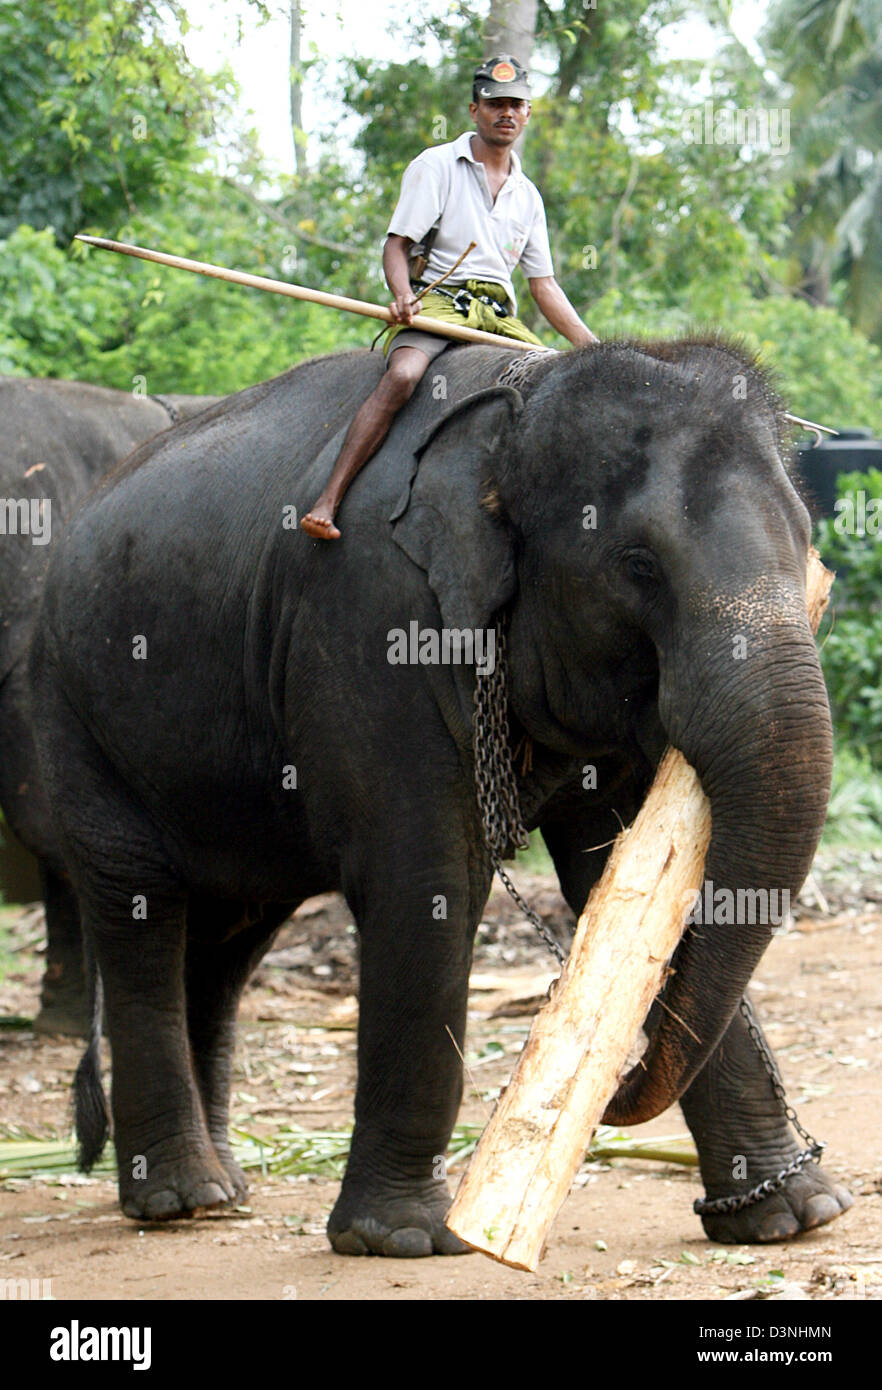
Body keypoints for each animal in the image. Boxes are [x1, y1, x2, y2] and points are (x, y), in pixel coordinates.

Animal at [28, 337, 853, 1255]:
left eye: (809, 547)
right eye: (638, 565)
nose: (615, 1089)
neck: (516, 412)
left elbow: (626, 879)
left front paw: (797, 1217)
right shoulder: (370, 624)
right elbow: (428, 883)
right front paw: (404, 1239)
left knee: (230, 931)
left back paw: (225, 1190)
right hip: (73, 717)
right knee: (139, 913)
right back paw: (181, 1199)